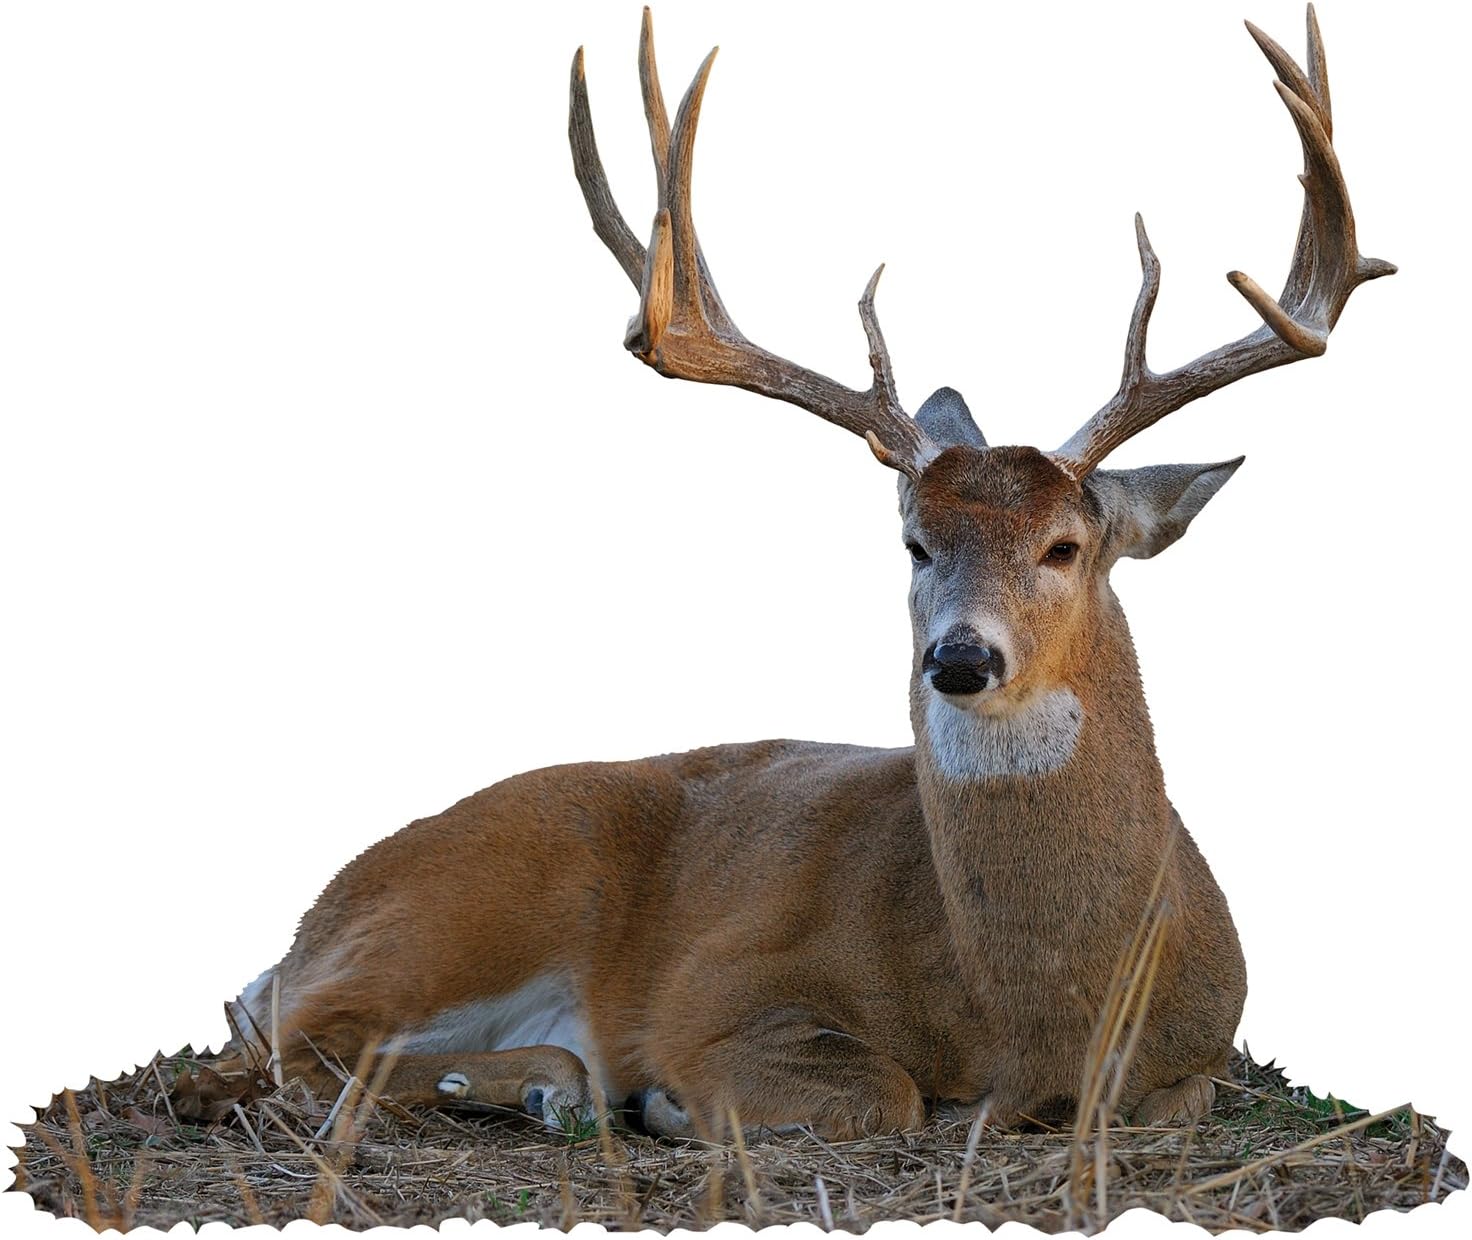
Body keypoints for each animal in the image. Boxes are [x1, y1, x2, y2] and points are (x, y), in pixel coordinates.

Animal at [223, 6, 1392, 1140]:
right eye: (912, 541)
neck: (1046, 1017)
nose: (959, 656)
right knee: (302, 1042)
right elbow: (885, 1094)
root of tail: (314, 913)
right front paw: (674, 1100)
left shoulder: (1201, 1051)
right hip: (470, 894)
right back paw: (558, 1085)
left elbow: (1174, 1099)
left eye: (1064, 545)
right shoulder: (721, 982)